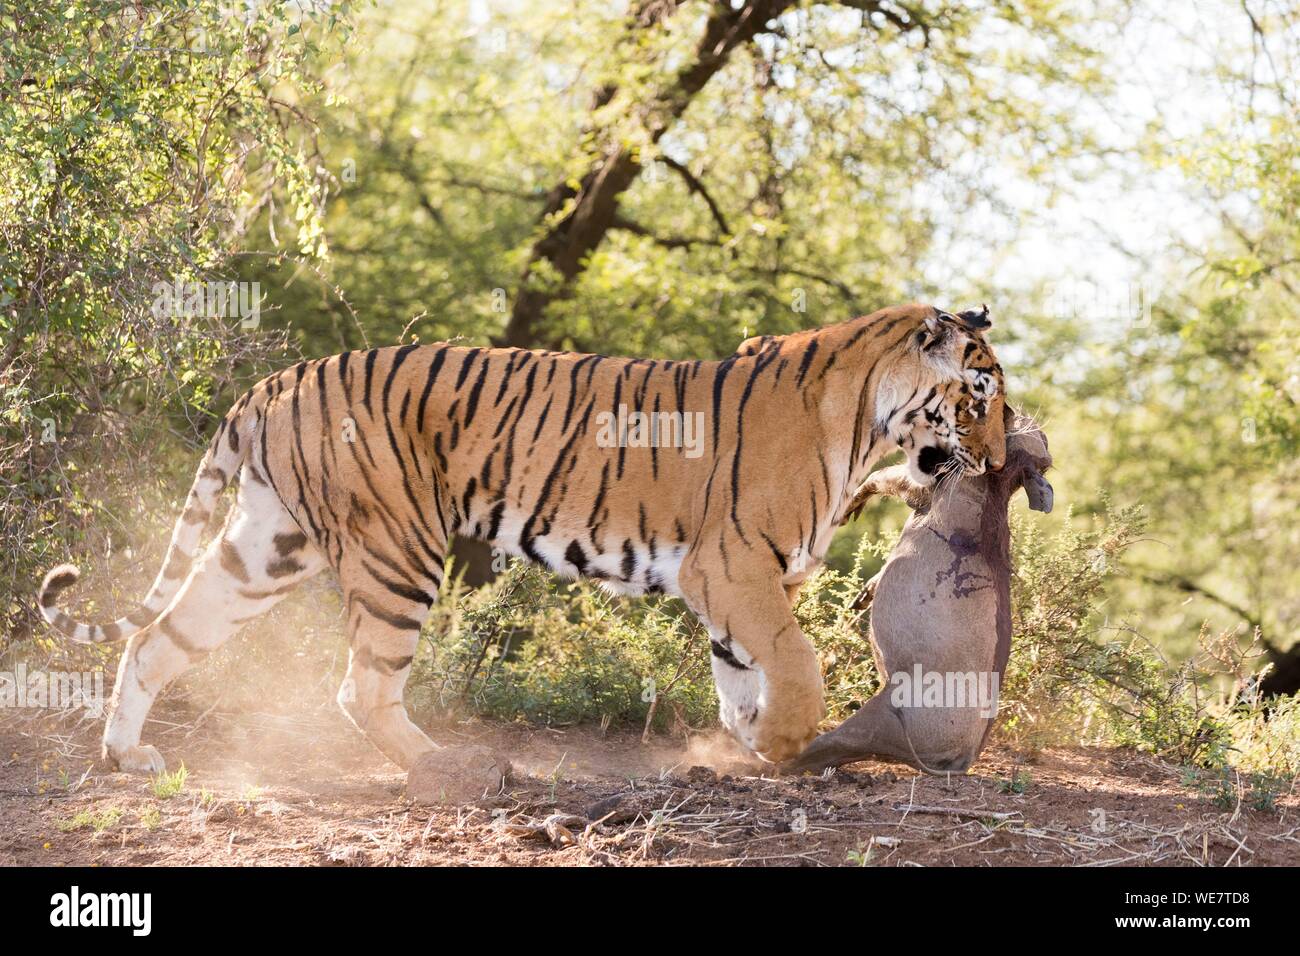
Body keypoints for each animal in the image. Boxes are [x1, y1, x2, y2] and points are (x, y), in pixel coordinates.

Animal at [38, 302, 1006, 774]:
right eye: (980, 394)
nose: (999, 459)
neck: (865, 416)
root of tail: (277, 379)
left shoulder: (739, 586)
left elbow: (741, 677)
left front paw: (752, 745)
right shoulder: (732, 567)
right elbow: (797, 661)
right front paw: (788, 744)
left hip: (263, 549)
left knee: (157, 642)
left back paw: (125, 756)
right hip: (398, 553)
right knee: (361, 687)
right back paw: (443, 766)